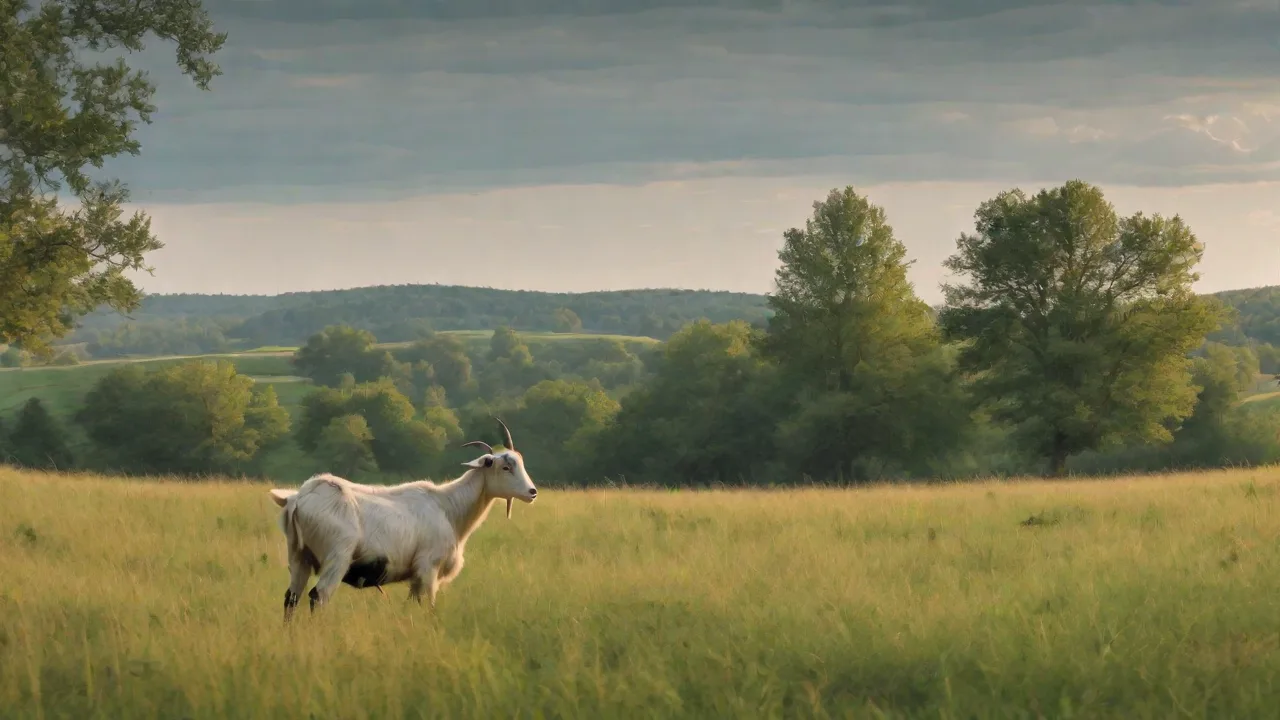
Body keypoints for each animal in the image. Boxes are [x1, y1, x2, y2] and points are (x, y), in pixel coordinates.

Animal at [267, 418, 537, 622]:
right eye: (505, 467)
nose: (532, 492)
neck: (448, 507)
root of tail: (298, 499)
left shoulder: (416, 577)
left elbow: (413, 606)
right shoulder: (428, 568)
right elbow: (429, 607)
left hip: (299, 557)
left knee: (291, 598)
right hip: (337, 557)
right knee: (319, 596)